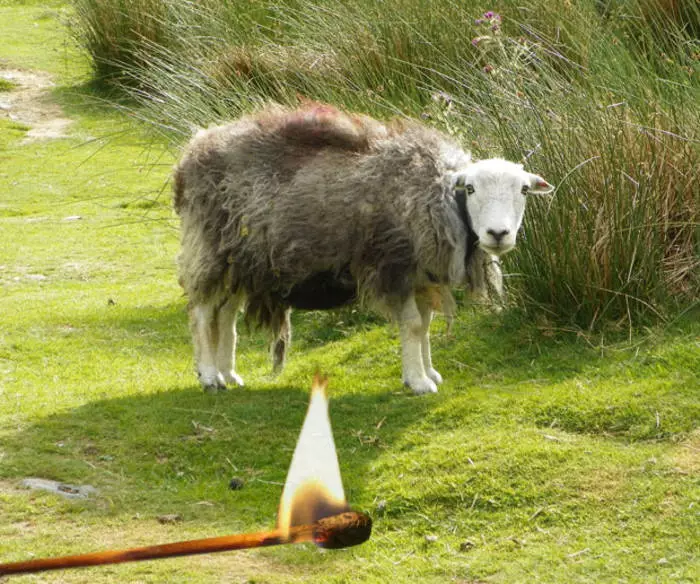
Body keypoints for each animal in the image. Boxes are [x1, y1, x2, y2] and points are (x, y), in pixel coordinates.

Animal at [174, 106, 552, 396]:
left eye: (523, 190)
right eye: (470, 189)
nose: (498, 234)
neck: (436, 194)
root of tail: (195, 147)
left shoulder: (420, 274)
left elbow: (426, 326)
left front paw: (428, 372)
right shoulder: (396, 266)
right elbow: (414, 325)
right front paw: (418, 381)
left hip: (240, 261)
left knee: (225, 316)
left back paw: (228, 374)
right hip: (209, 248)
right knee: (202, 313)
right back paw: (209, 376)